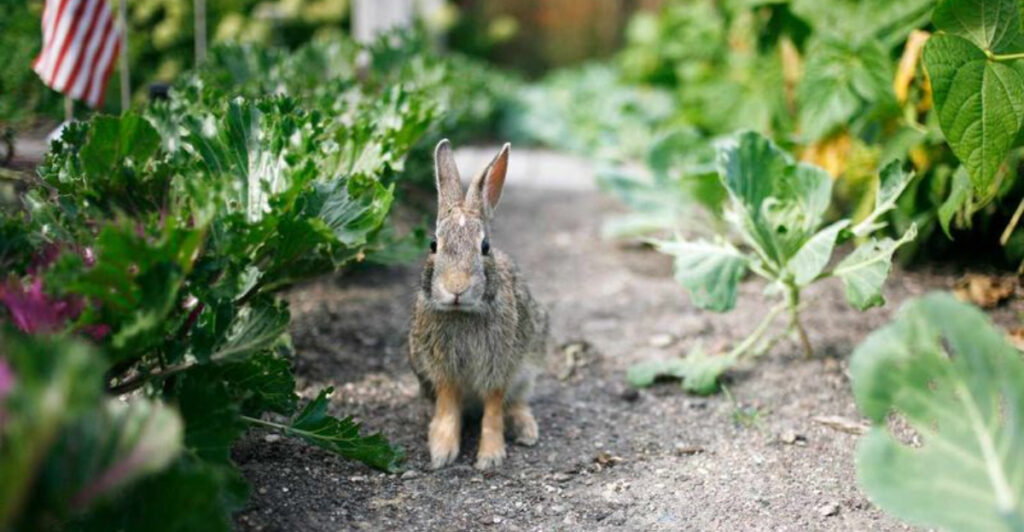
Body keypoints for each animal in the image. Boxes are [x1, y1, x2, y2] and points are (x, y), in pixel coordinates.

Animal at [408, 139, 550, 471]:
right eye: (433, 245)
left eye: (485, 247)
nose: (456, 288)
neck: (463, 312)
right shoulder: (442, 369)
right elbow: (449, 405)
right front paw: (441, 451)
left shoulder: (500, 365)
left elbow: (494, 408)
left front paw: (491, 456)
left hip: (529, 367)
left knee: (517, 401)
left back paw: (525, 429)